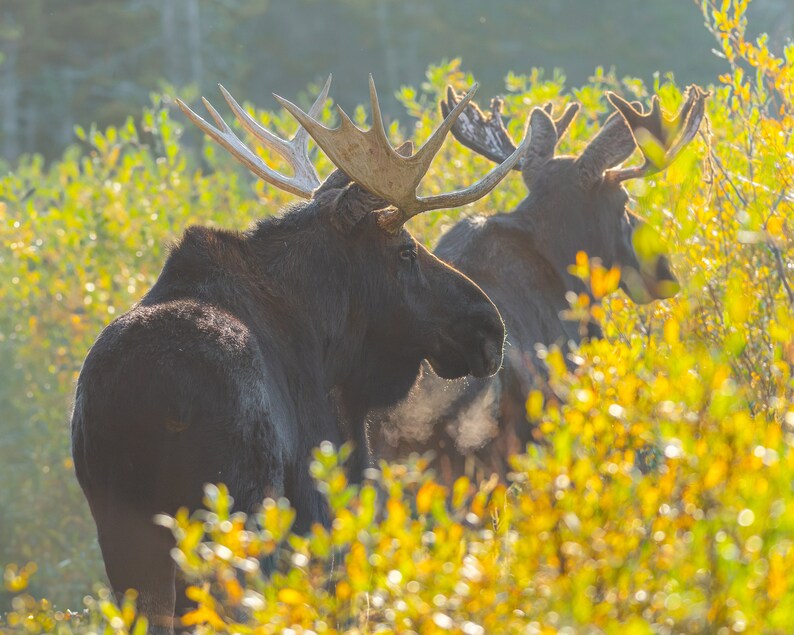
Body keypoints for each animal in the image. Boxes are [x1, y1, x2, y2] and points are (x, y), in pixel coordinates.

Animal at [71, 75, 541, 633]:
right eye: (405, 250)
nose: (490, 326)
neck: (326, 345)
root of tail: (150, 393)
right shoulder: (316, 506)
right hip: (231, 518)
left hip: (123, 527)